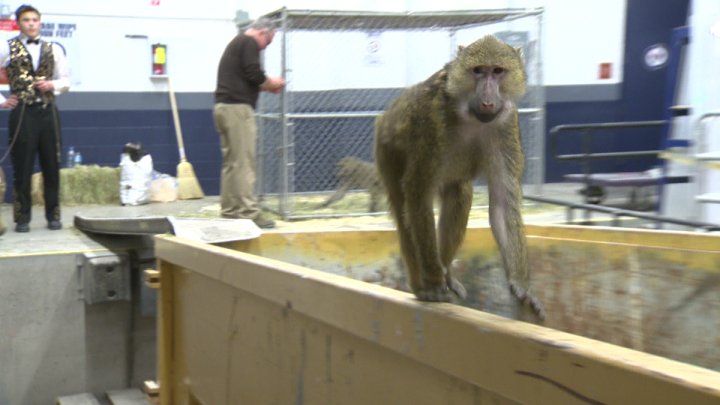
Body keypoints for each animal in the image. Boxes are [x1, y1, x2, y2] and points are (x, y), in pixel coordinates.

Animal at [374, 35, 544, 319]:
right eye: (478, 71)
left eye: (497, 71)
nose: (487, 99)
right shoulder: (431, 119)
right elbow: (418, 196)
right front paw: (433, 283)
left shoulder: (506, 122)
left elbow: (502, 204)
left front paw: (521, 284)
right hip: (386, 150)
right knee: (404, 210)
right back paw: (423, 285)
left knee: (460, 192)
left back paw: (446, 271)